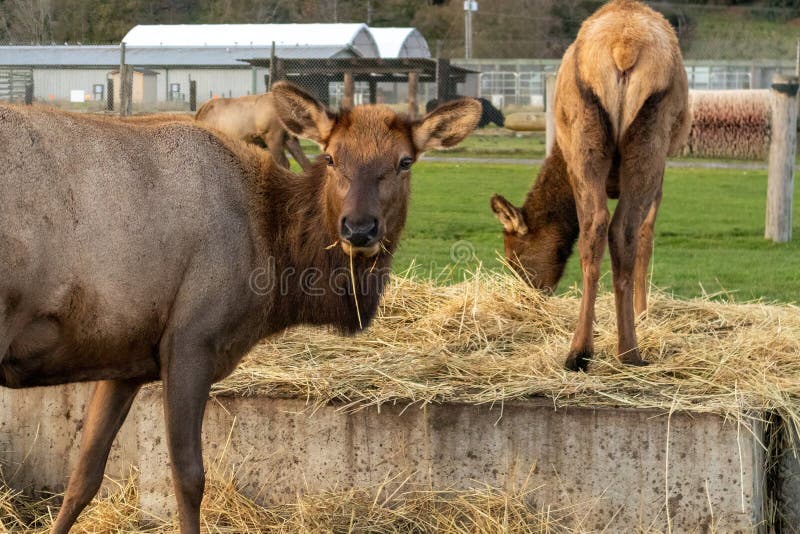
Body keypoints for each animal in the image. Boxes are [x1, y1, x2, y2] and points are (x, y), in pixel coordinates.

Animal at [0, 82, 481, 533]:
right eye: (330, 157)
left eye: (405, 161)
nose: (359, 229)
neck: (274, 252)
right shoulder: (192, 339)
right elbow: (189, 477)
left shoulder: (125, 356)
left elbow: (83, 477)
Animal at [491, 0, 691, 372]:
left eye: (514, 257)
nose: (528, 300)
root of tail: (624, 48)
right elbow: (646, 238)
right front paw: (642, 312)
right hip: (647, 136)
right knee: (620, 230)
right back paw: (622, 349)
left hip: (587, 131)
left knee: (599, 228)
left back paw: (586, 350)